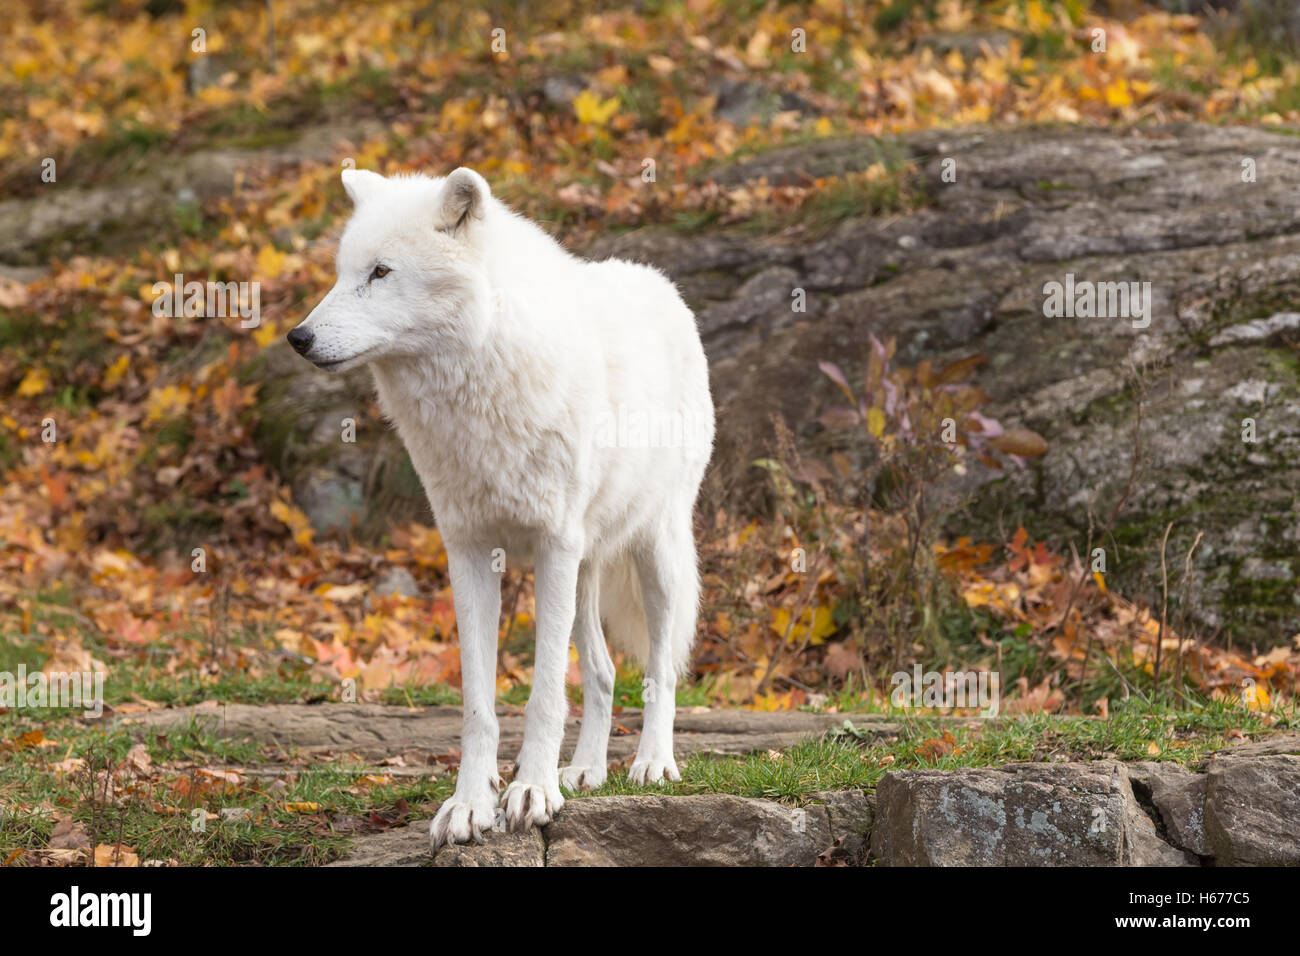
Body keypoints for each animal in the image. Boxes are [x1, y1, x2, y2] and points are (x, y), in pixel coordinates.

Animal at [288, 167, 714, 847]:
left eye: (380, 272)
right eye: (340, 272)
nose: (297, 338)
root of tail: (658, 282)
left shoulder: (552, 546)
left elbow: (542, 695)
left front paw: (533, 792)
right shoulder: (466, 551)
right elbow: (478, 704)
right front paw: (470, 804)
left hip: (656, 554)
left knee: (660, 671)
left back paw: (652, 763)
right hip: (587, 568)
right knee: (601, 672)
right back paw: (587, 771)